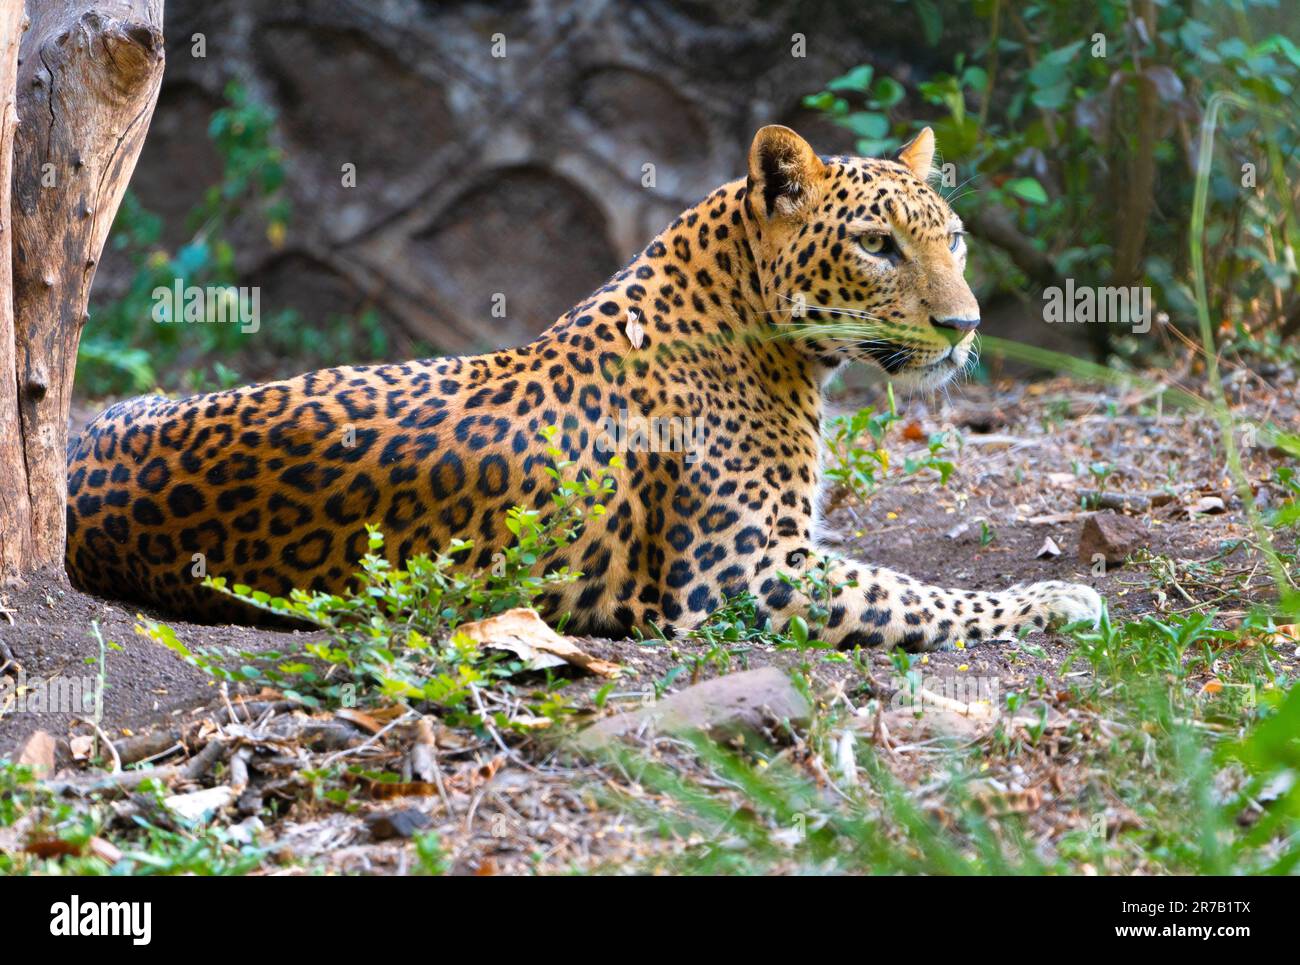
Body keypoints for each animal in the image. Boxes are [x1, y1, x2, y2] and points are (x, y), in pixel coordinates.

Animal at [65, 124, 1102, 651]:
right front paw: (1063, 598)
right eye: (877, 245)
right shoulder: (741, 578)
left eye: (953, 238)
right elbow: (927, 596)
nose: (966, 326)